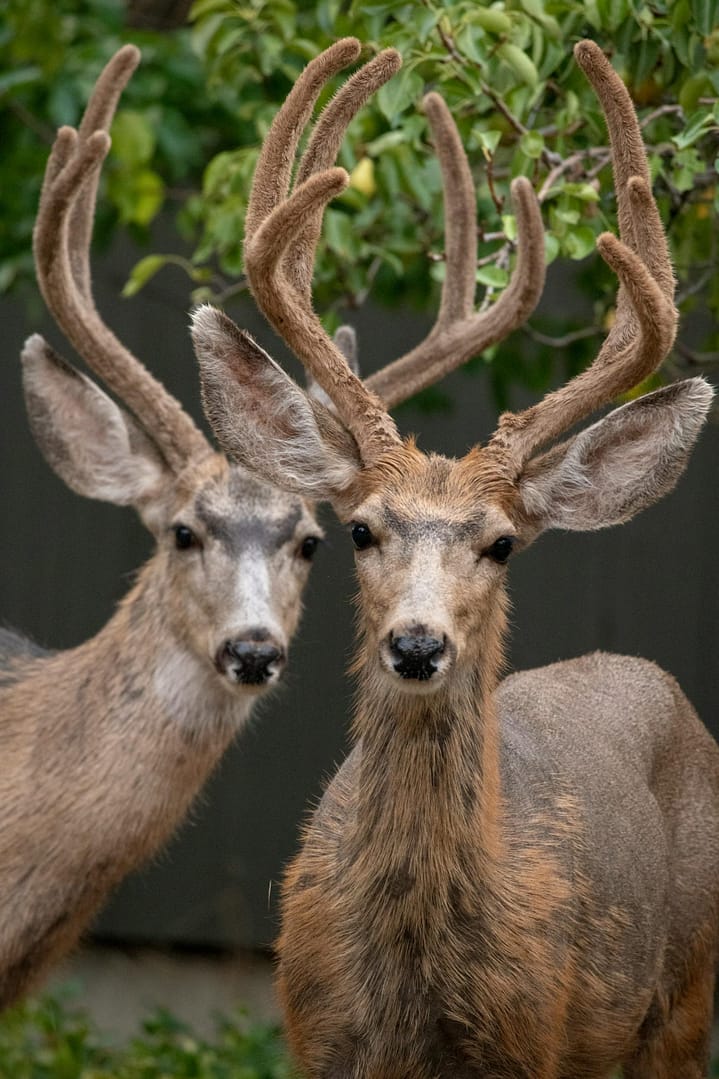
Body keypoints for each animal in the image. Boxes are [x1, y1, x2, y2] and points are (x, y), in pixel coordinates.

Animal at [194, 38, 719, 1079]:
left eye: (501, 542)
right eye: (361, 529)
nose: (417, 643)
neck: (412, 981)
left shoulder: (536, 1040)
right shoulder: (314, 1035)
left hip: (684, 998)